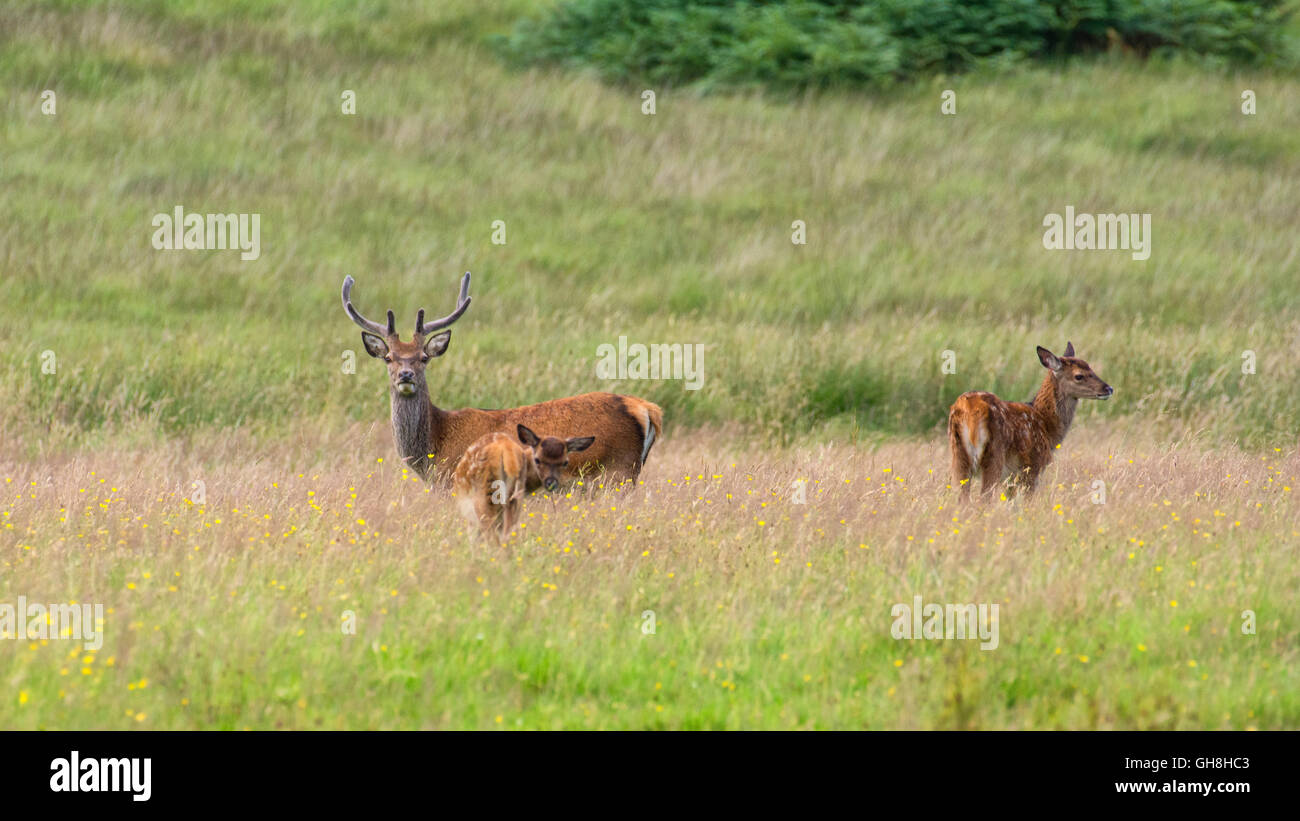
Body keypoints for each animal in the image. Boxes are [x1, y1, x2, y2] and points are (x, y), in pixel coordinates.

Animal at [342, 272, 662, 486]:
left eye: (423, 357)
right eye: (389, 357)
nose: (406, 374)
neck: (436, 447)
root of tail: (646, 409)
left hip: (617, 472)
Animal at [452, 425, 595, 542]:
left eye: (565, 462)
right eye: (537, 459)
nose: (551, 482)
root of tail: (506, 450)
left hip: (486, 496)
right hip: (513, 497)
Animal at [948, 342, 1113, 501]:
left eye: (1090, 367)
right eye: (1079, 376)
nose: (1108, 388)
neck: (1046, 426)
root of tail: (968, 408)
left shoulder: (1012, 477)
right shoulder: (1033, 467)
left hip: (959, 457)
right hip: (994, 457)